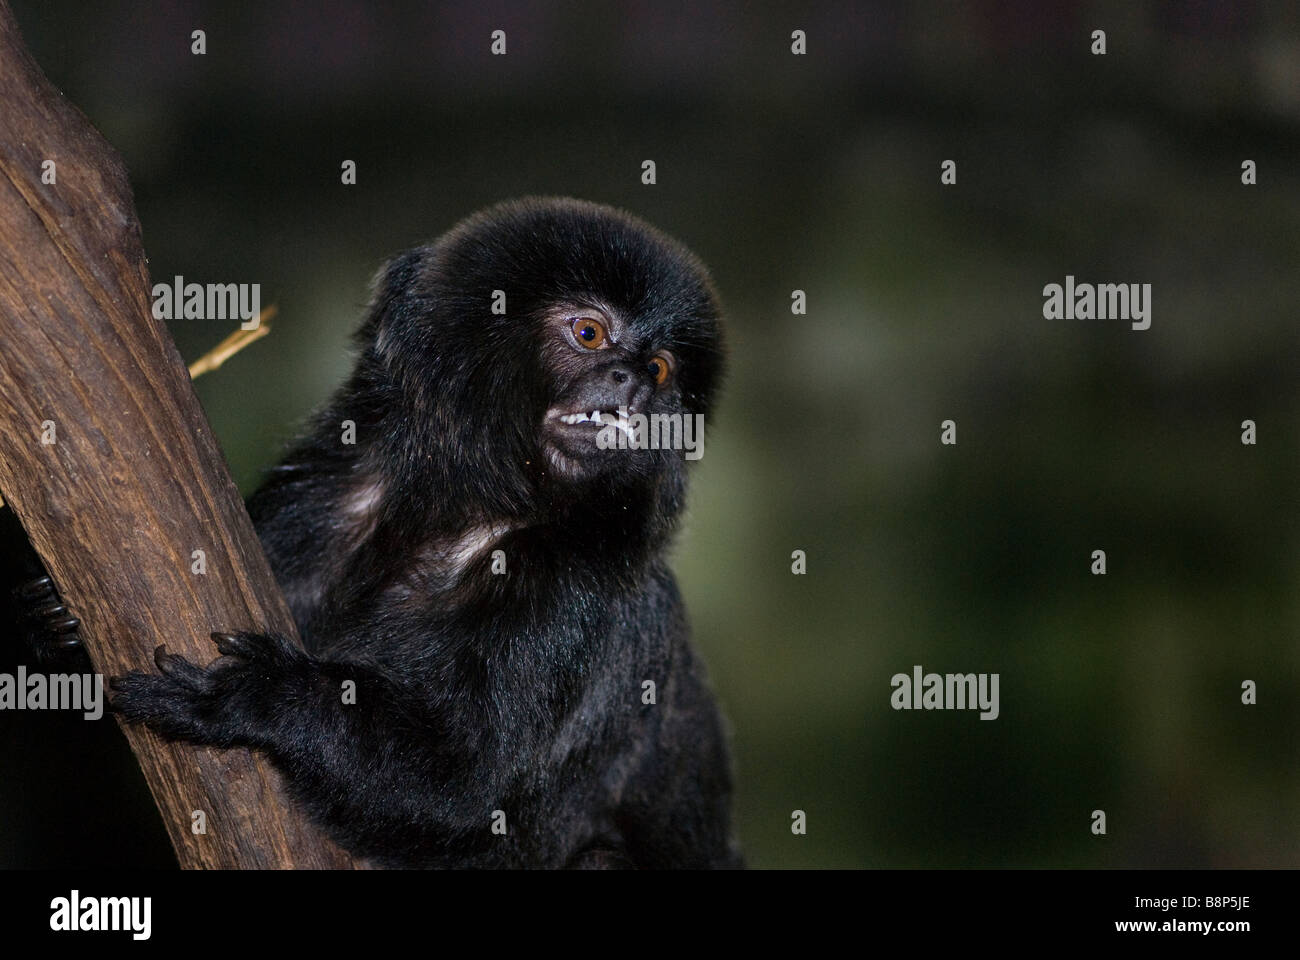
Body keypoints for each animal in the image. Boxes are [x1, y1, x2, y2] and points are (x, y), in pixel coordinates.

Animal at [100, 197, 740, 868]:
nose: (632, 382)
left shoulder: (570, 582)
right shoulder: (341, 480)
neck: (477, 508)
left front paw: (254, 697)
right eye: (589, 333)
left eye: (660, 368)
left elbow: (460, 788)